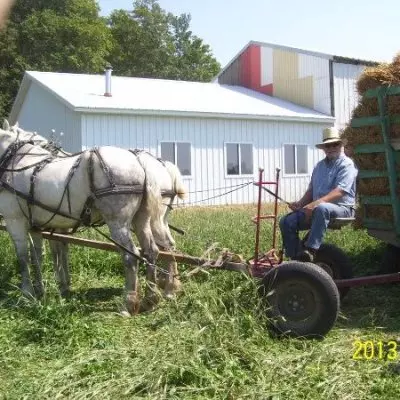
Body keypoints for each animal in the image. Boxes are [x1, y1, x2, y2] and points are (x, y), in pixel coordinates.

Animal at [2, 122, 187, 300]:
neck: (18, 162)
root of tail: (143, 164)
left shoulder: (15, 221)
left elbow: (25, 257)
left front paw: (29, 292)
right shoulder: (39, 226)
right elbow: (40, 256)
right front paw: (46, 288)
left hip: (118, 222)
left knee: (132, 256)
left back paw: (132, 300)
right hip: (145, 219)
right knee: (158, 249)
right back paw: (156, 295)